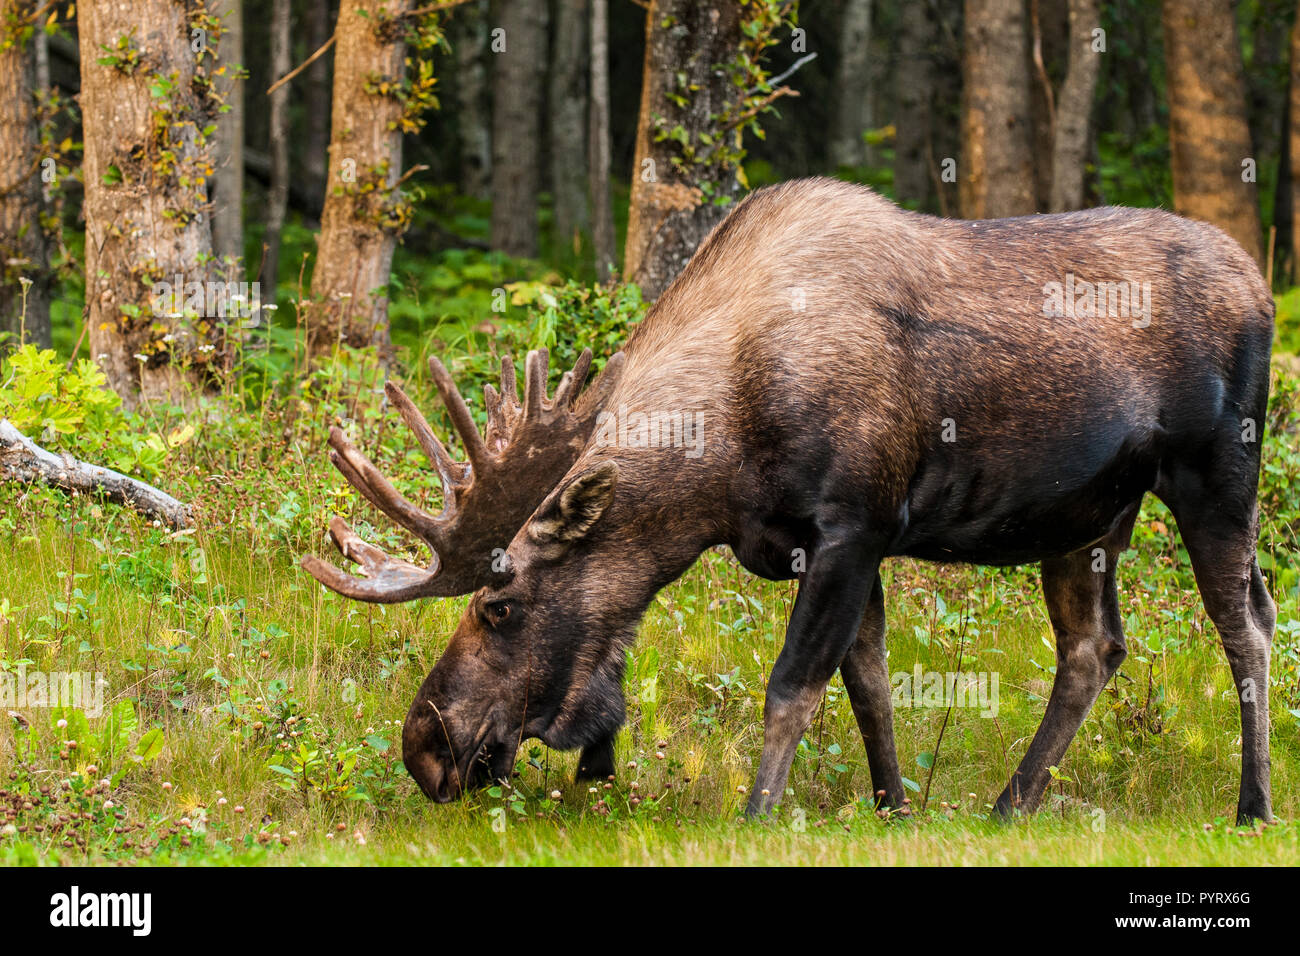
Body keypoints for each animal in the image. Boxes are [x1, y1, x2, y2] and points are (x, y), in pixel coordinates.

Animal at [303, 178, 1277, 825]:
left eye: (498, 606)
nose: (424, 747)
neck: (719, 474)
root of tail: (1262, 284)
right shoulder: (836, 545)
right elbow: (869, 684)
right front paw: (893, 809)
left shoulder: (856, 523)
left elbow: (794, 685)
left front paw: (756, 816)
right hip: (1089, 515)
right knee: (1094, 648)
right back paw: (1010, 804)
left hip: (1218, 473)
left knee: (1247, 626)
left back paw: (1254, 806)